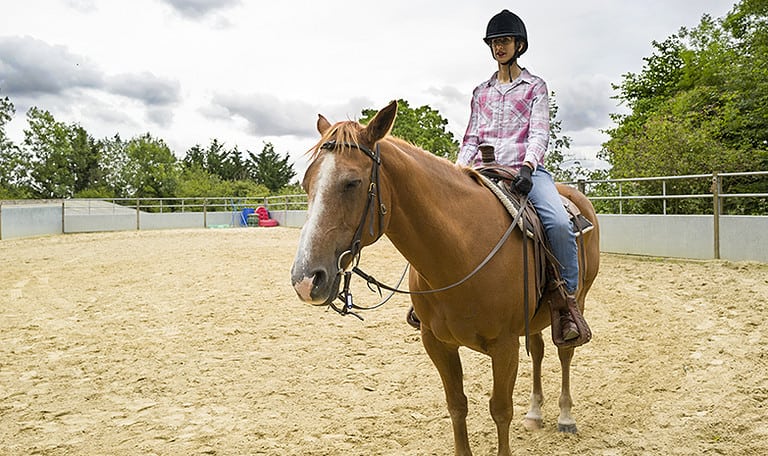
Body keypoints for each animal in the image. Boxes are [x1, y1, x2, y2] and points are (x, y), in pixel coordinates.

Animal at [290, 100, 600, 456]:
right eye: (306, 183)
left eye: (352, 182)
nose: (305, 279)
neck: (462, 252)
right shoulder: (437, 344)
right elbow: (457, 405)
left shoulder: (504, 346)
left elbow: (500, 410)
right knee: (537, 350)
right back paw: (535, 413)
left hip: (576, 302)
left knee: (564, 353)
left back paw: (565, 416)